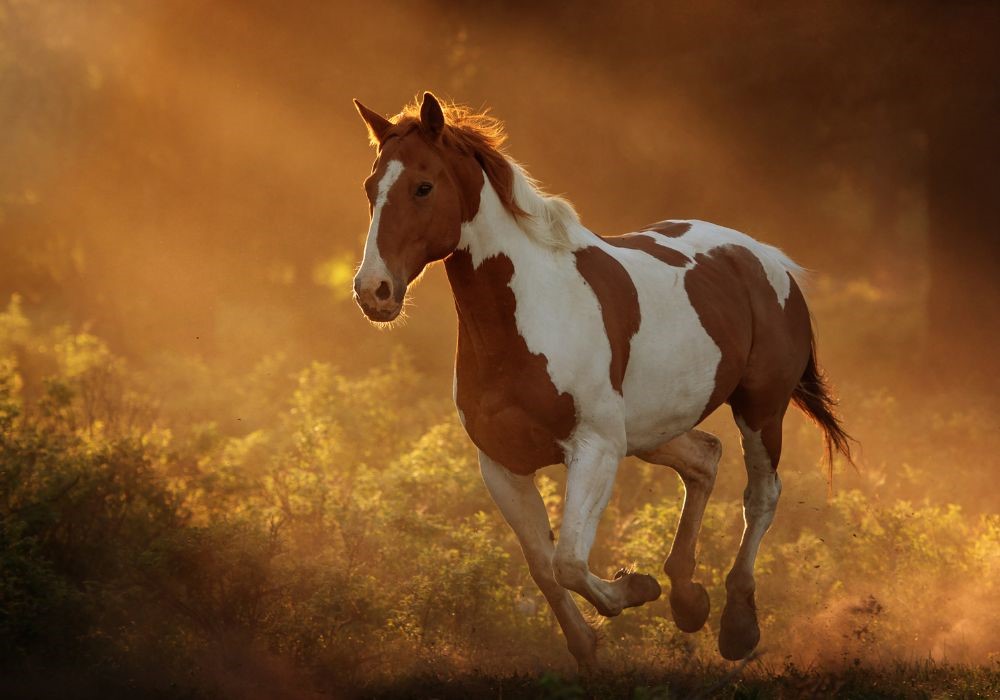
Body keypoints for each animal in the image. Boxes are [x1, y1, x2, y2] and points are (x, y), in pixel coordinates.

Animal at [350, 92, 852, 668]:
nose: (373, 291)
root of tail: (765, 258)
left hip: (759, 410)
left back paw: (736, 627)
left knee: (762, 494)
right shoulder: (502, 463)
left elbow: (568, 561)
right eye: (370, 187)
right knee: (705, 459)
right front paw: (589, 646)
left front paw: (635, 587)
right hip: (649, 430)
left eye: (423, 187)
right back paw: (688, 601)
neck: (529, 315)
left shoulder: (593, 447)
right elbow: (544, 567)